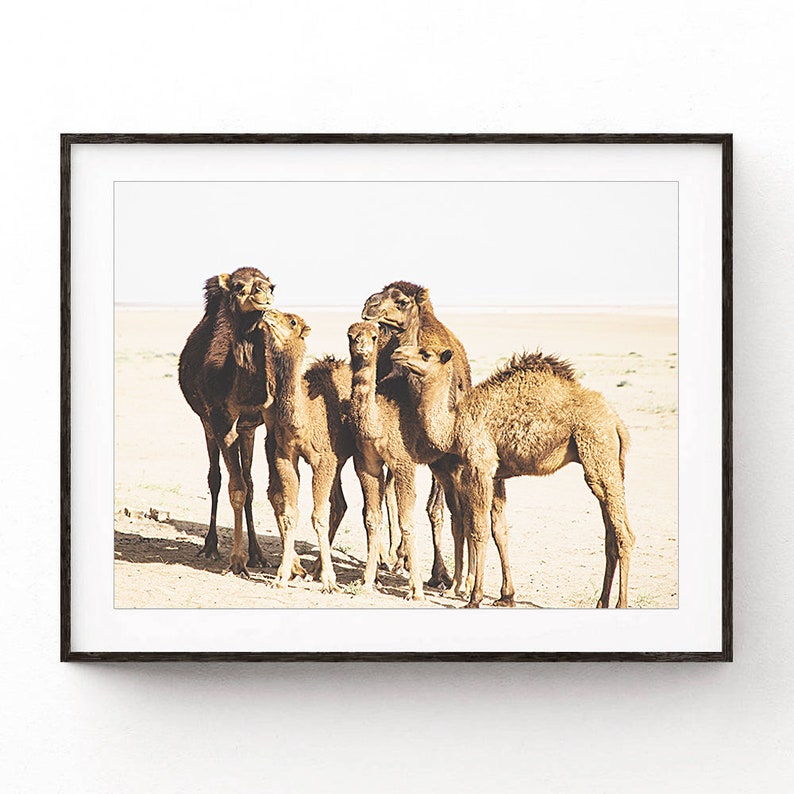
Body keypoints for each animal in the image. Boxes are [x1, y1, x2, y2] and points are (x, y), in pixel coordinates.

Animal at [178, 267, 296, 577]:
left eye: (270, 285)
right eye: (239, 287)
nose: (263, 294)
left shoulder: (266, 422)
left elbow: (270, 490)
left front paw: (281, 562)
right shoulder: (222, 420)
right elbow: (236, 489)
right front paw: (237, 561)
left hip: (247, 430)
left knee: (250, 481)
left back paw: (256, 553)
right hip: (207, 422)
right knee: (217, 478)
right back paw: (211, 547)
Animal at [259, 308, 354, 592]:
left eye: (292, 321)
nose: (268, 312)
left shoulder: (323, 459)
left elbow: (318, 516)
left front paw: (330, 581)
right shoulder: (285, 455)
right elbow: (290, 513)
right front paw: (281, 577)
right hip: (339, 462)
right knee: (340, 504)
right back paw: (314, 569)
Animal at [346, 322, 426, 600]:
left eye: (373, 336)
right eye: (351, 335)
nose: (362, 346)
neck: (378, 424)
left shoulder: (404, 462)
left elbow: (408, 522)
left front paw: (417, 590)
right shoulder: (366, 463)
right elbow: (372, 517)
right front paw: (368, 580)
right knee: (390, 496)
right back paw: (394, 557)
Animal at [361, 281, 473, 590]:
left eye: (401, 301)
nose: (369, 304)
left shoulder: (441, 454)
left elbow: (436, 510)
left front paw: (440, 573)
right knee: (387, 496)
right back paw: (389, 556)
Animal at [390, 345, 635, 609]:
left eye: (425, 354)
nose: (397, 352)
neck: (455, 424)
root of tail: (616, 422)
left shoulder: (480, 464)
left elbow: (478, 529)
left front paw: (475, 598)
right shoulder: (497, 474)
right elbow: (500, 530)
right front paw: (505, 596)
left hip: (597, 448)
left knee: (624, 534)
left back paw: (621, 603)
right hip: (608, 464)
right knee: (610, 534)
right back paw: (601, 602)